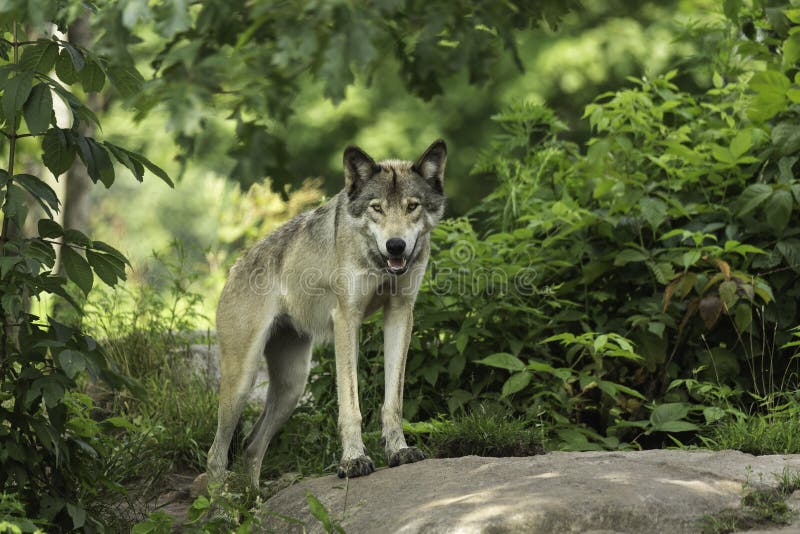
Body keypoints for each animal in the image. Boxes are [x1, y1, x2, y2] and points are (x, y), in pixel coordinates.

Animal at [205, 139, 447, 489]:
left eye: (412, 206)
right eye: (376, 208)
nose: (396, 245)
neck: (376, 260)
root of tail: (235, 266)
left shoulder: (401, 313)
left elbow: (393, 401)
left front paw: (399, 451)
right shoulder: (346, 319)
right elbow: (350, 406)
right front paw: (353, 461)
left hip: (292, 388)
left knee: (251, 447)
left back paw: (254, 501)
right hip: (243, 381)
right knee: (216, 454)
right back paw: (222, 505)